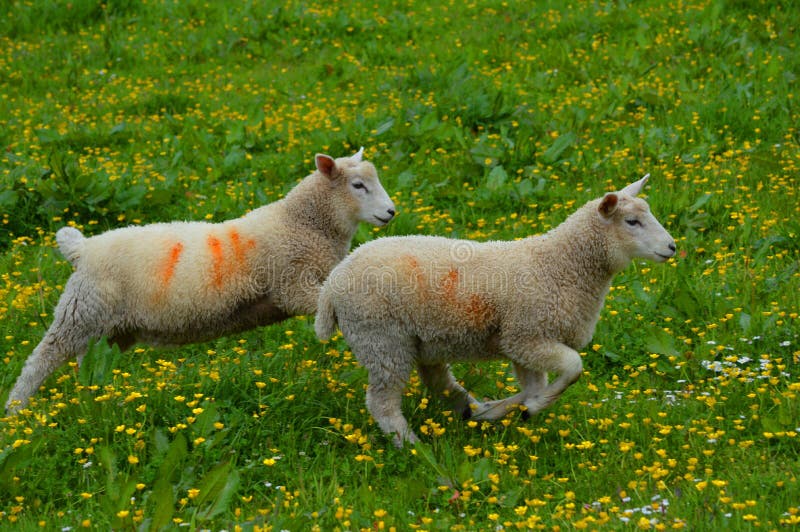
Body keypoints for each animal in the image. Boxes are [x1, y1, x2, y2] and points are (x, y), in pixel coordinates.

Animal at [6, 148, 396, 413]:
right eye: (358, 185)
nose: (391, 212)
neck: (302, 224)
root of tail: (81, 248)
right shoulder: (293, 284)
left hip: (105, 328)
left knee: (85, 362)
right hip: (79, 311)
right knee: (39, 361)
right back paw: (15, 411)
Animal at [315, 175, 675, 447]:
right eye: (632, 221)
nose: (672, 247)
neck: (560, 265)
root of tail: (332, 284)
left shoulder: (521, 342)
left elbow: (534, 387)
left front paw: (499, 411)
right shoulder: (527, 336)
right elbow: (573, 368)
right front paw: (530, 409)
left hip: (417, 341)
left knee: (437, 381)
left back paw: (468, 408)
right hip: (381, 338)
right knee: (383, 402)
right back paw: (412, 446)